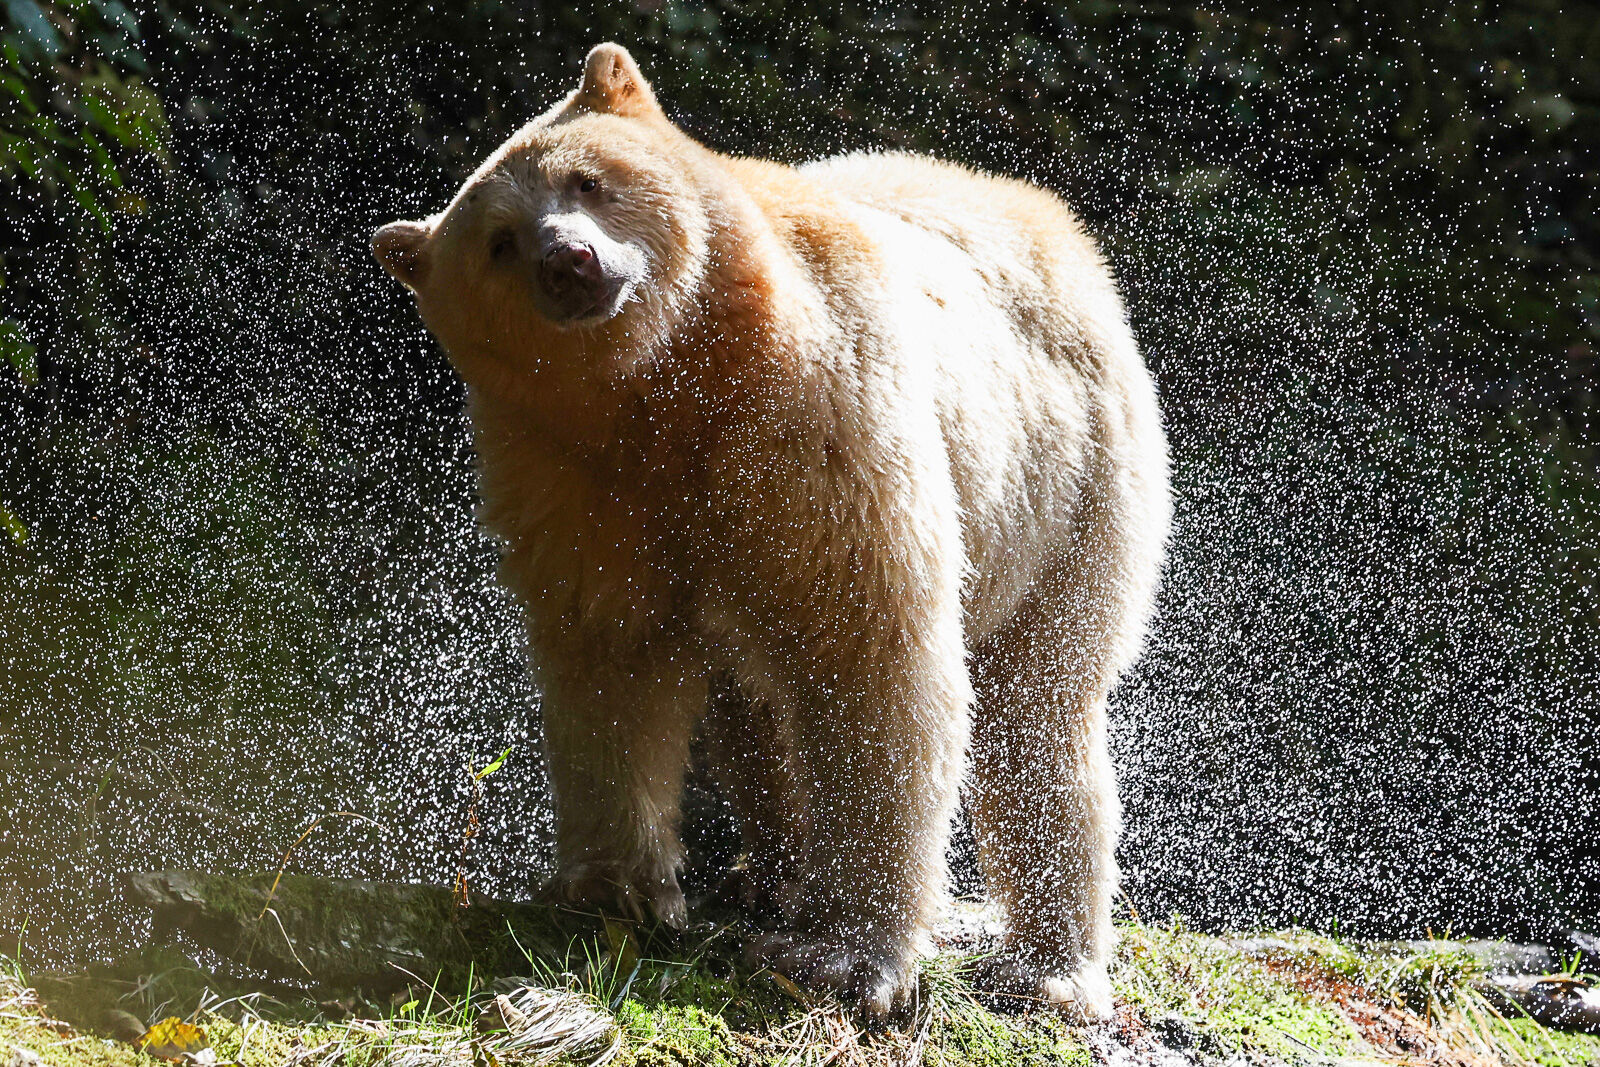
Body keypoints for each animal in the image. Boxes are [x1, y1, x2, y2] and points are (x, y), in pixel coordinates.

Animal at [373, 43, 1169, 1020]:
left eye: (588, 179)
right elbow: (609, 657)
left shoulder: (817, 409)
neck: (665, 389)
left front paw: (845, 954)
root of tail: (1058, 226)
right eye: (497, 242)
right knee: (757, 711)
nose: (569, 260)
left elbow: (866, 649)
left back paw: (1050, 962)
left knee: (1040, 708)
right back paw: (778, 874)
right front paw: (614, 886)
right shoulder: (569, 474)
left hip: (1068, 488)